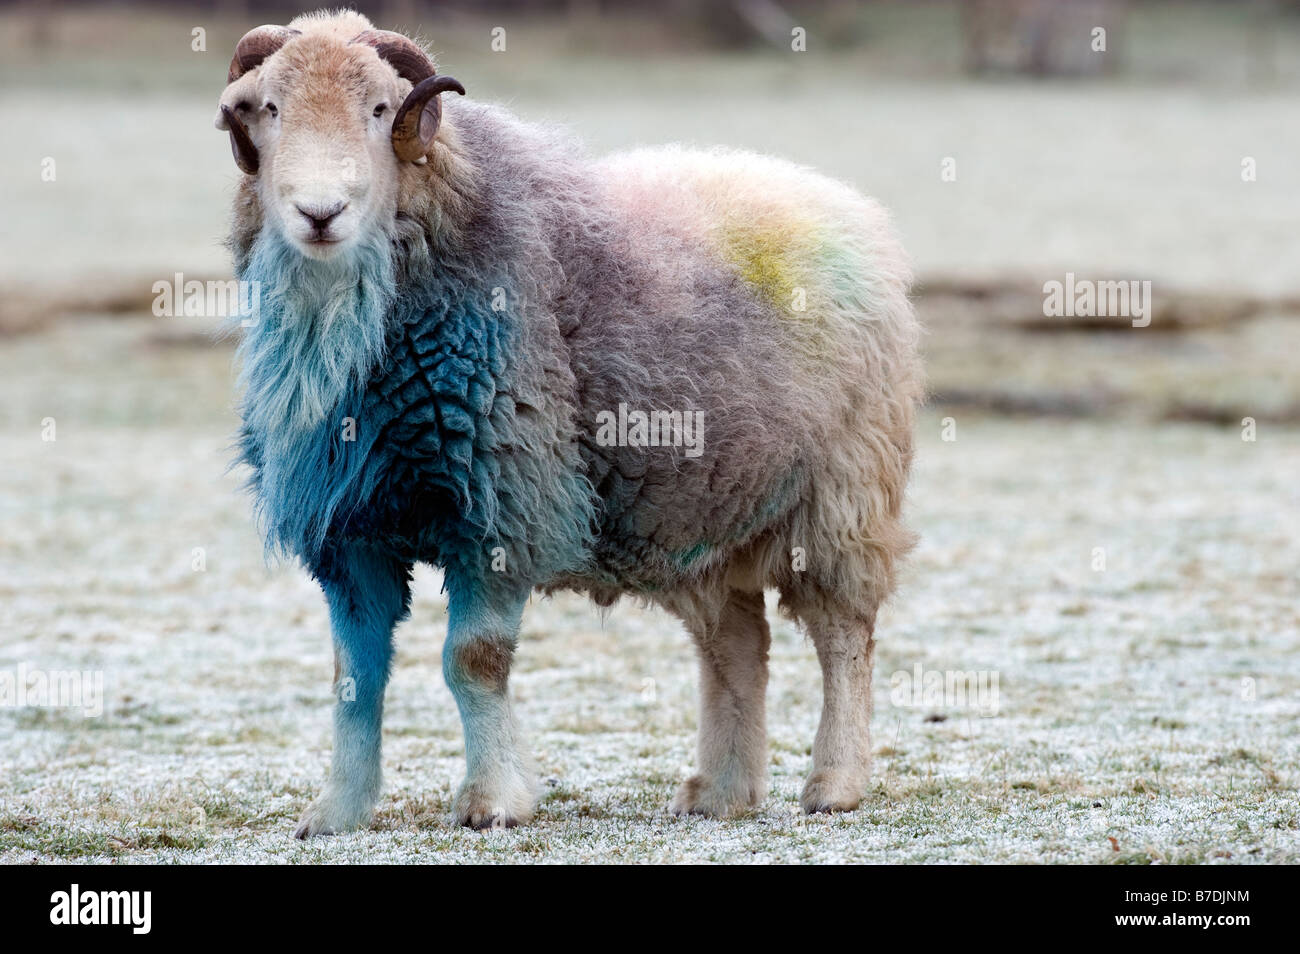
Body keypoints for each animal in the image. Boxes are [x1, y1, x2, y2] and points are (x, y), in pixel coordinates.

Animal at [214, 9, 923, 836]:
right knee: (737, 642)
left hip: (842, 497)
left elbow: (473, 662)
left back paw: (835, 782)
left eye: (381, 110)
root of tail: (847, 205)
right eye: (269, 107)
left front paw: (492, 801)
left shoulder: (500, 511)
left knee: (843, 634)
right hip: (695, 514)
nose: (320, 214)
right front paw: (337, 811)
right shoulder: (351, 531)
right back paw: (721, 791)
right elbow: (352, 677)